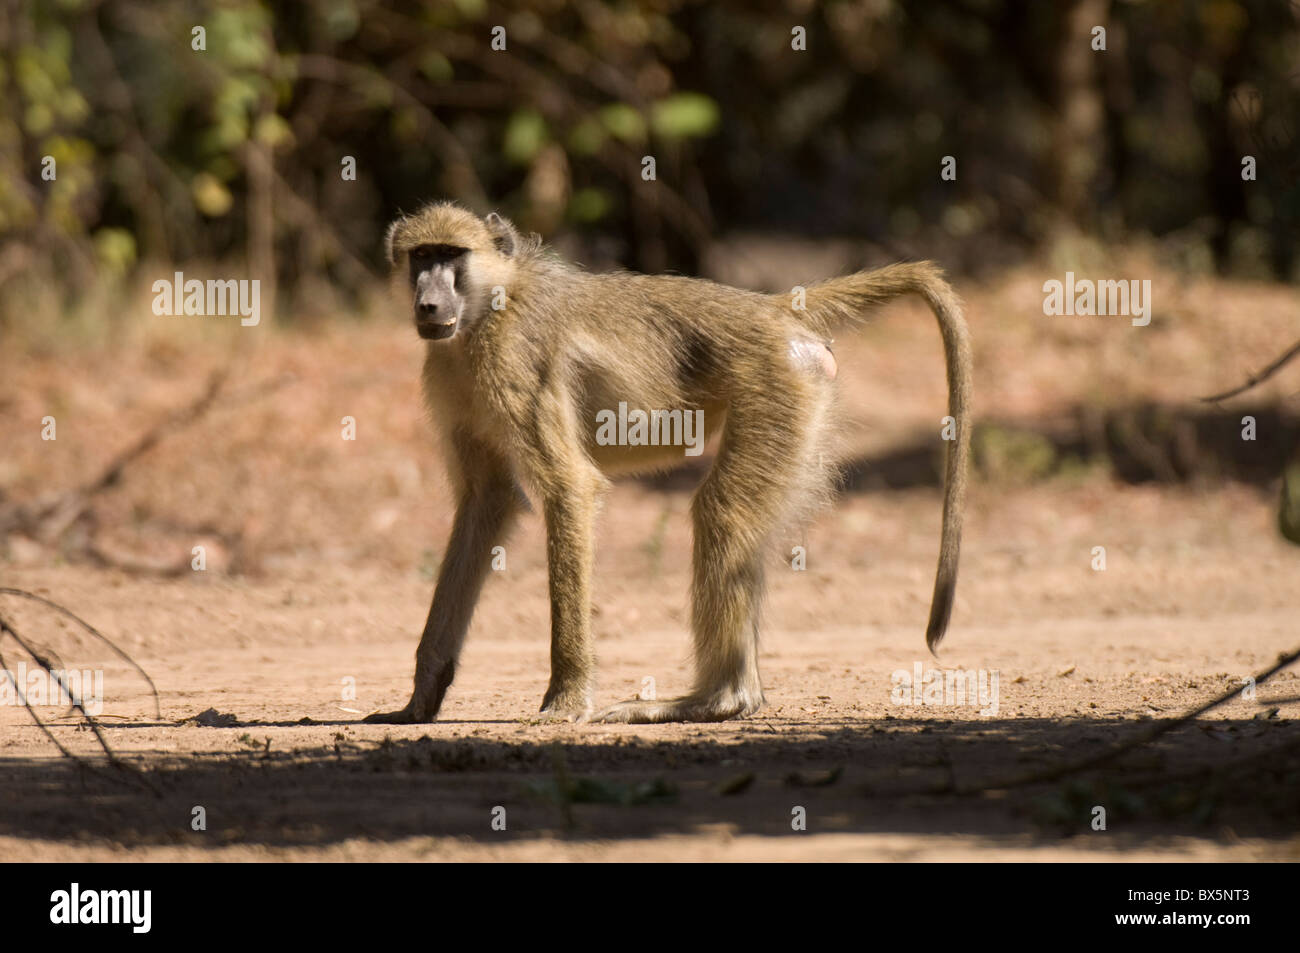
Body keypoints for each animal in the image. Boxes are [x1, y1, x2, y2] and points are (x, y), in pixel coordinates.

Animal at [364, 202, 971, 725]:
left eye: (451, 256)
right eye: (421, 257)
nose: (428, 305)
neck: (490, 306)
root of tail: (769, 308)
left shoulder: (511, 360)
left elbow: (570, 488)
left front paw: (565, 700)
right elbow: (486, 502)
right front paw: (418, 700)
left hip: (779, 386)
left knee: (724, 513)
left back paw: (714, 699)